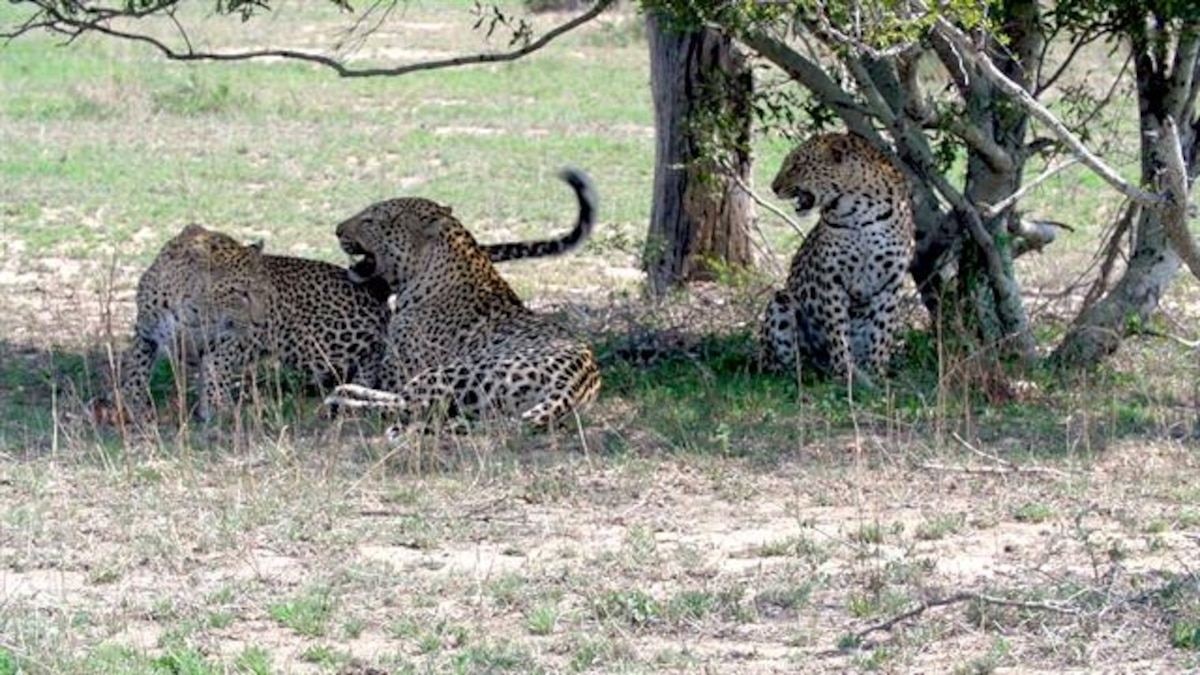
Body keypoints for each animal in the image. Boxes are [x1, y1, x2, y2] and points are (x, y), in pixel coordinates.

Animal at [324, 167, 601, 431]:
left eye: (370, 220)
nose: (337, 230)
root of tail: (571, 385)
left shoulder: (395, 372)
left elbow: (376, 368)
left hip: (447, 371)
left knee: (408, 405)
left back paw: (342, 399)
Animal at [759, 132, 915, 389]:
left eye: (797, 165)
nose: (774, 187)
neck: (860, 212)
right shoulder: (831, 279)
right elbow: (837, 331)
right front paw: (844, 373)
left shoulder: (891, 281)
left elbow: (882, 330)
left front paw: (877, 372)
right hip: (781, 303)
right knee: (781, 364)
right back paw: (804, 374)